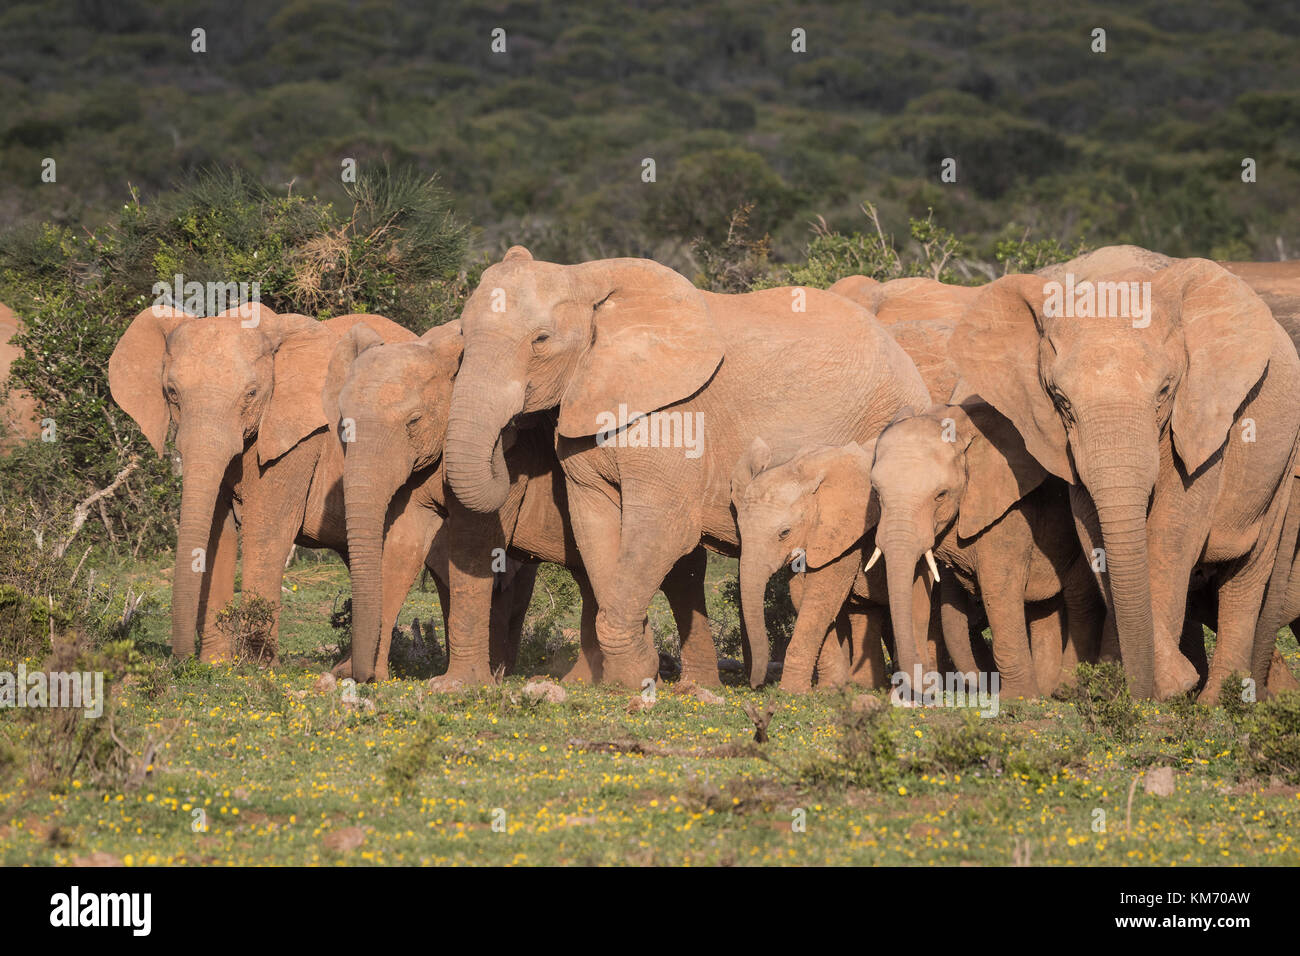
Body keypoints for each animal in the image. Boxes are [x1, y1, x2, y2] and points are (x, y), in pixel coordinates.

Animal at [108, 303, 425, 661]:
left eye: (251, 394)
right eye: (172, 393)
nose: (182, 657)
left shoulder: (300, 437)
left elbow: (265, 530)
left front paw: (255, 664)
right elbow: (219, 533)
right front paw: (216, 665)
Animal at [322, 320, 718, 687]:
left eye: (413, 421)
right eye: (342, 425)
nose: (359, 675)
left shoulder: (513, 462)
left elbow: (474, 543)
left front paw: (456, 685)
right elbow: (402, 546)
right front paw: (360, 677)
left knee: (680, 573)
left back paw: (689, 685)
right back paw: (582, 681)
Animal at [443, 246, 932, 689]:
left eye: (541, 341)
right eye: (462, 335)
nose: (508, 438)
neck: (585, 276)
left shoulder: (674, 414)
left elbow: (664, 529)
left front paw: (636, 676)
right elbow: (593, 526)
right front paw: (632, 672)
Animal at [952, 258, 1300, 702]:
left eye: (1165, 391)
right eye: (1061, 401)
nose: (1149, 686)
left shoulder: (1201, 416)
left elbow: (1174, 530)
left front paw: (1165, 690)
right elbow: (1092, 528)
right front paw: (1131, 684)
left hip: (1282, 465)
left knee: (1246, 577)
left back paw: (1215, 703)